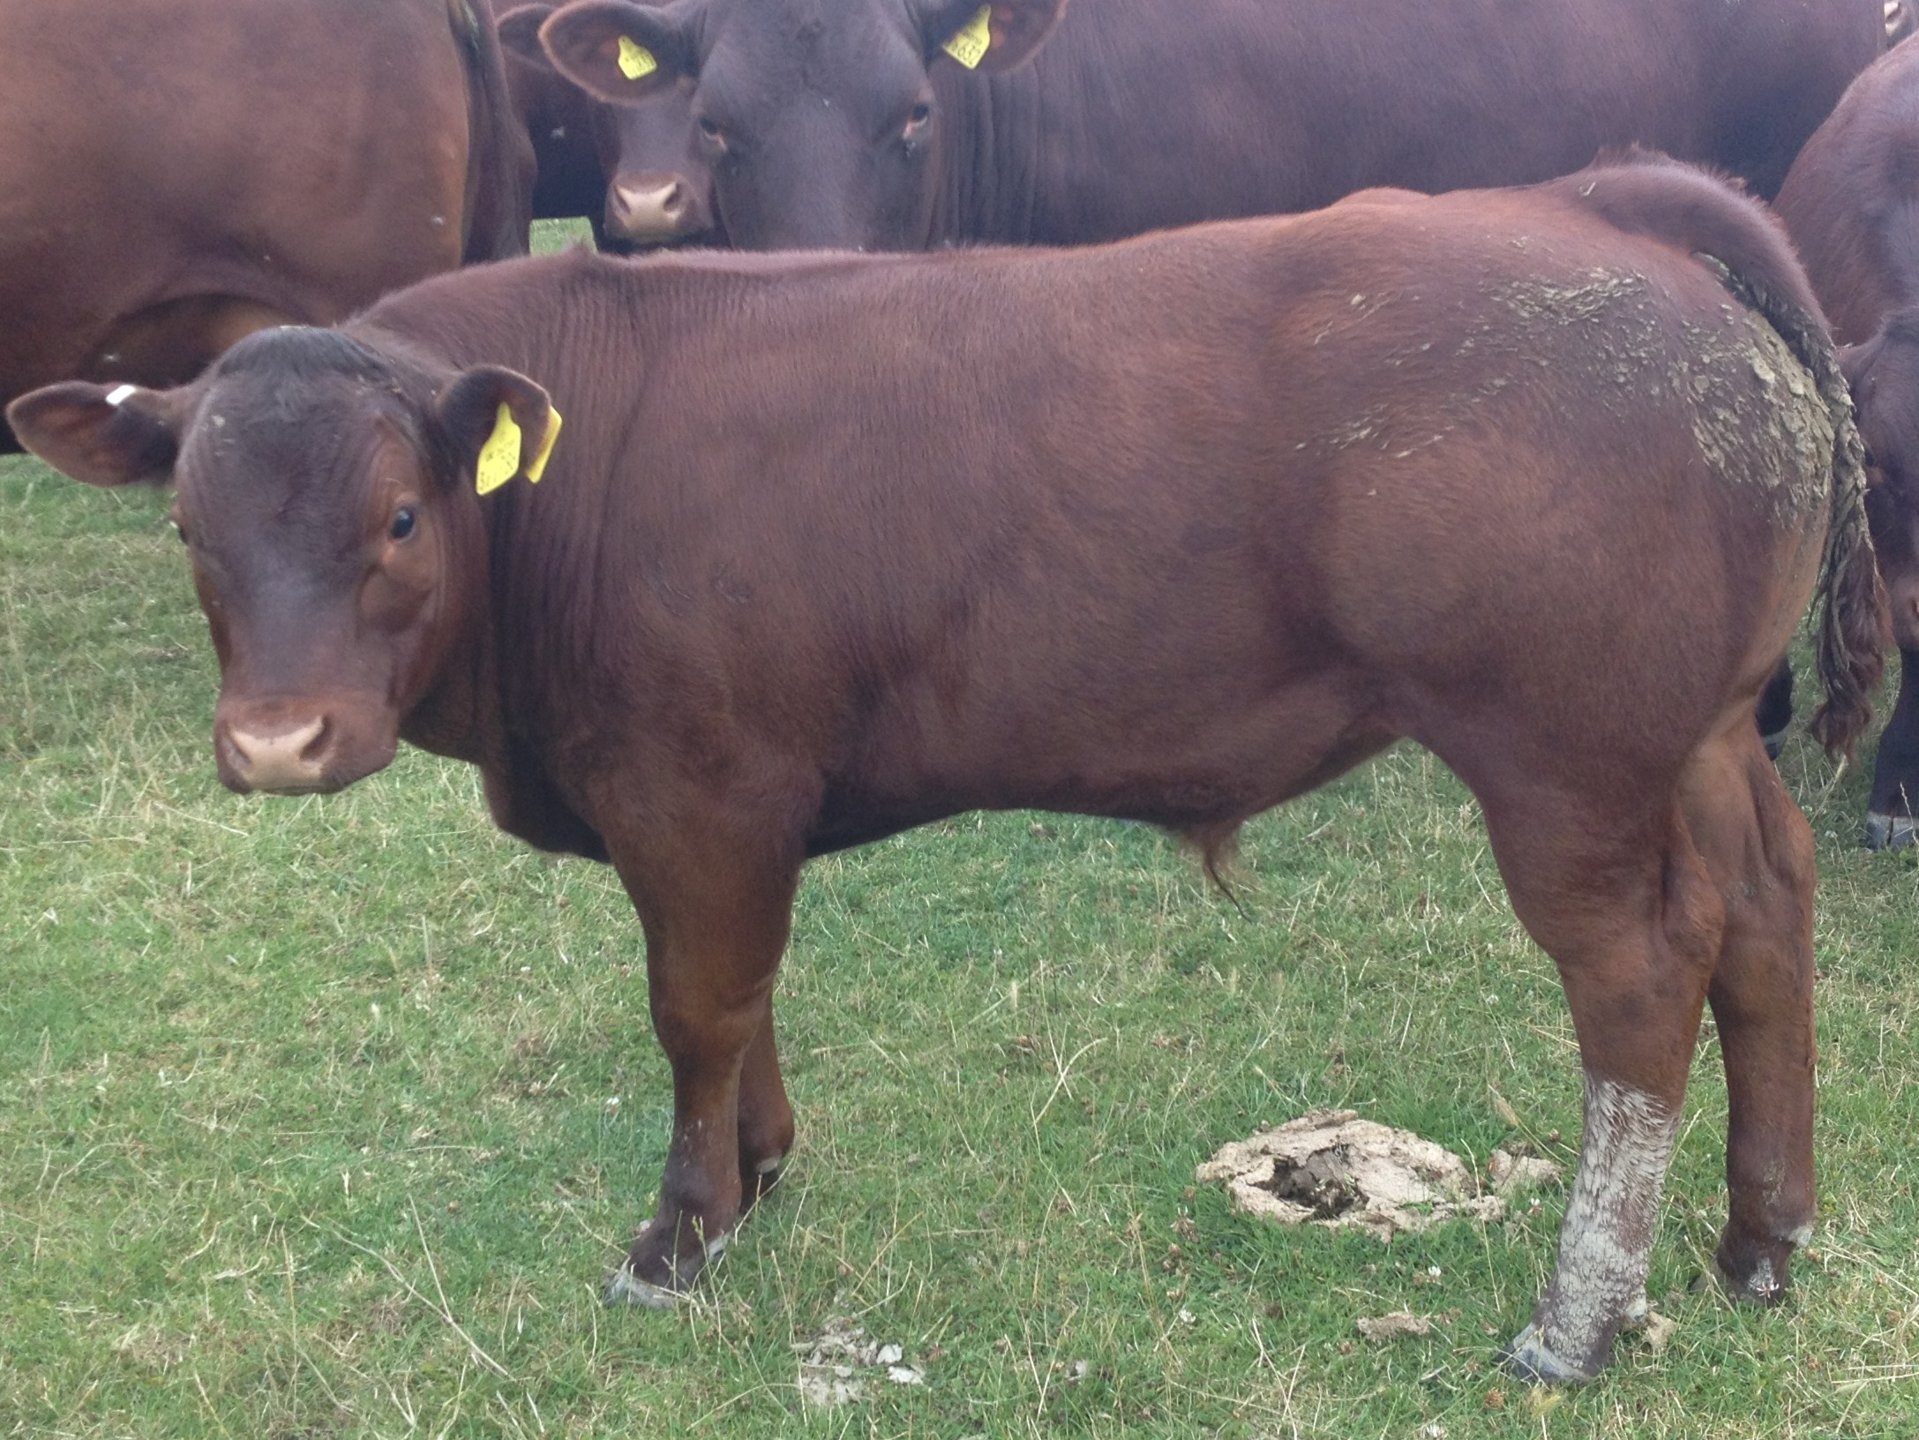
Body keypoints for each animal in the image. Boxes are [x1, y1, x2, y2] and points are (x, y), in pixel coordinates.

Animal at [8, 156, 1882, 1384]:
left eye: (400, 518)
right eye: (189, 529)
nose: (278, 744)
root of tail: (1594, 207)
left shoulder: (697, 785)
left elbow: (695, 1002)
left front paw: (679, 1236)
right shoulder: (720, 809)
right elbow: (742, 997)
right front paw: (757, 1176)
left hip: (1564, 760)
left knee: (1639, 978)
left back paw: (1574, 1321)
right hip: (1697, 738)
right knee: (1762, 917)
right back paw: (1757, 1242)